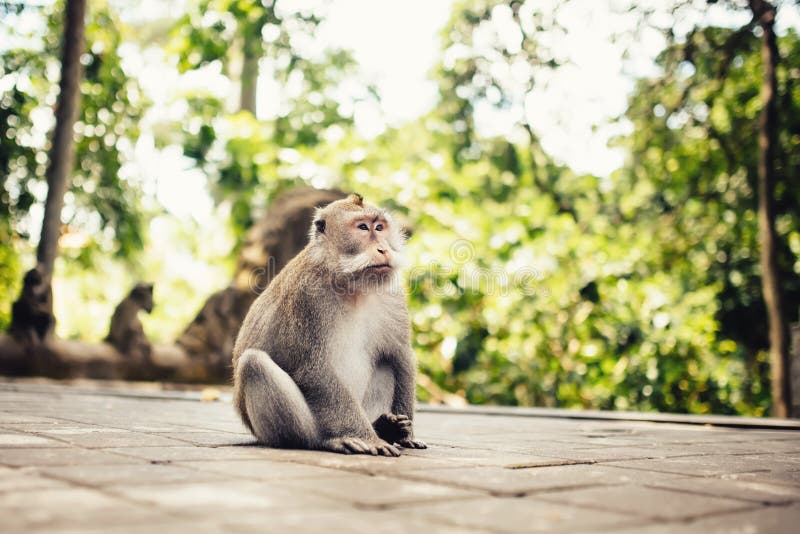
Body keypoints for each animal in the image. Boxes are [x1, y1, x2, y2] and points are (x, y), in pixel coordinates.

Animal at [233, 193, 426, 456]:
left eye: (379, 227)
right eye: (362, 227)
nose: (383, 249)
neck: (350, 284)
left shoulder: (392, 295)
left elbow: (400, 355)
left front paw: (406, 435)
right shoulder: (306, 297)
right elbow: (314, 371)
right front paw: (370, 440)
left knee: (385, 362)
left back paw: (384, 426)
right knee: (254, 364)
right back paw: (329, 440)